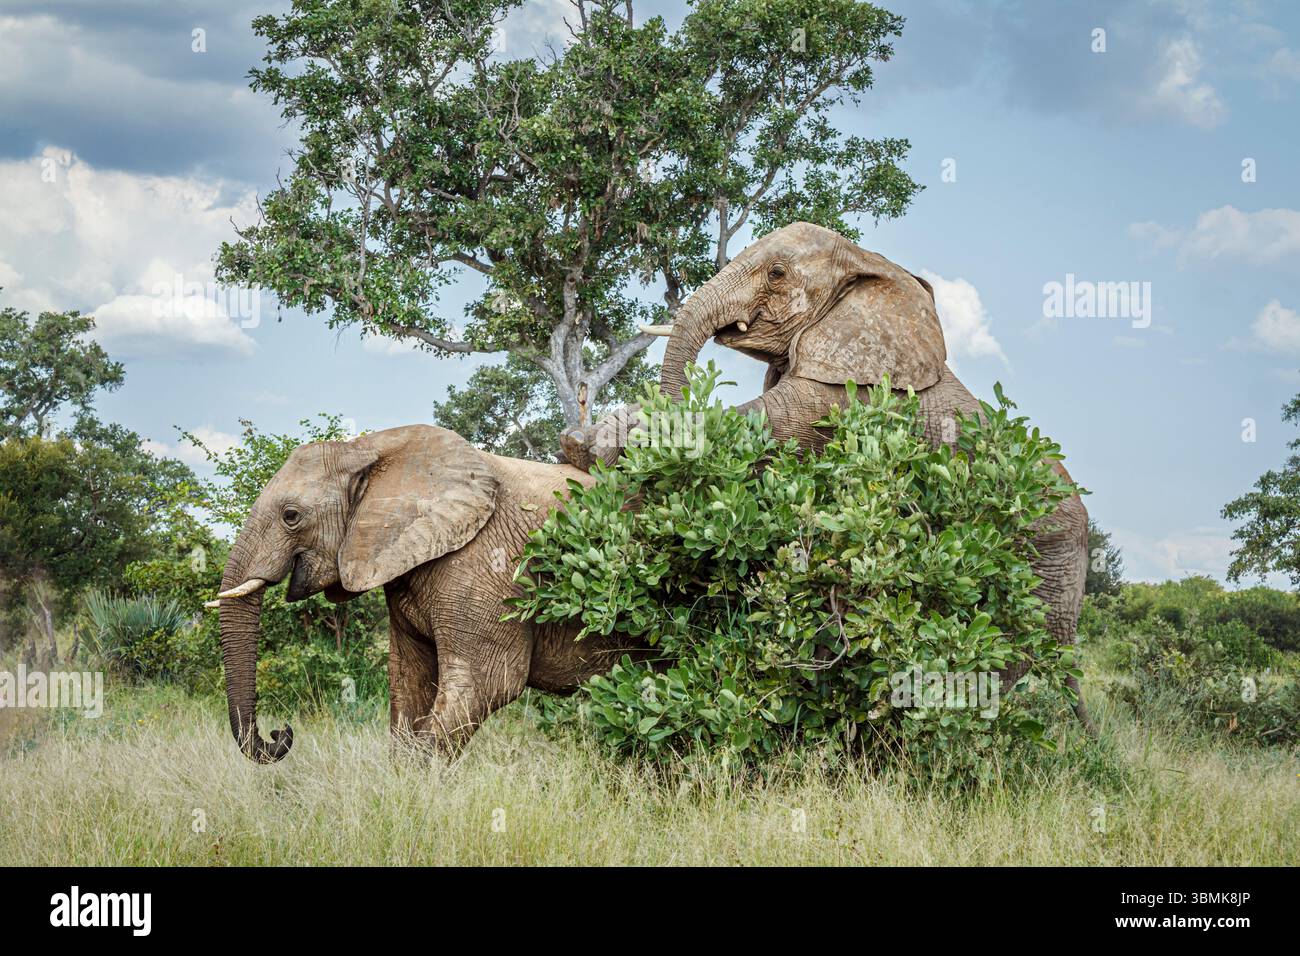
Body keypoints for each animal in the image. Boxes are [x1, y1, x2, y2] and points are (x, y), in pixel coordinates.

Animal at [209, 424, 649, 763]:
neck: (366, 448)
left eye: (291, 516)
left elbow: (488, 683)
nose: (280, 733)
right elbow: (408, 682)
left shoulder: (484, 562)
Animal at [562, 221, 1095, 732]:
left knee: (1012, 653)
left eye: (777, 273)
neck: (866, 263)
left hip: (1052, 561)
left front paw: (601, 444)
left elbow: (767, 423)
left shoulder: (853, 391)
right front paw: (587, 440)